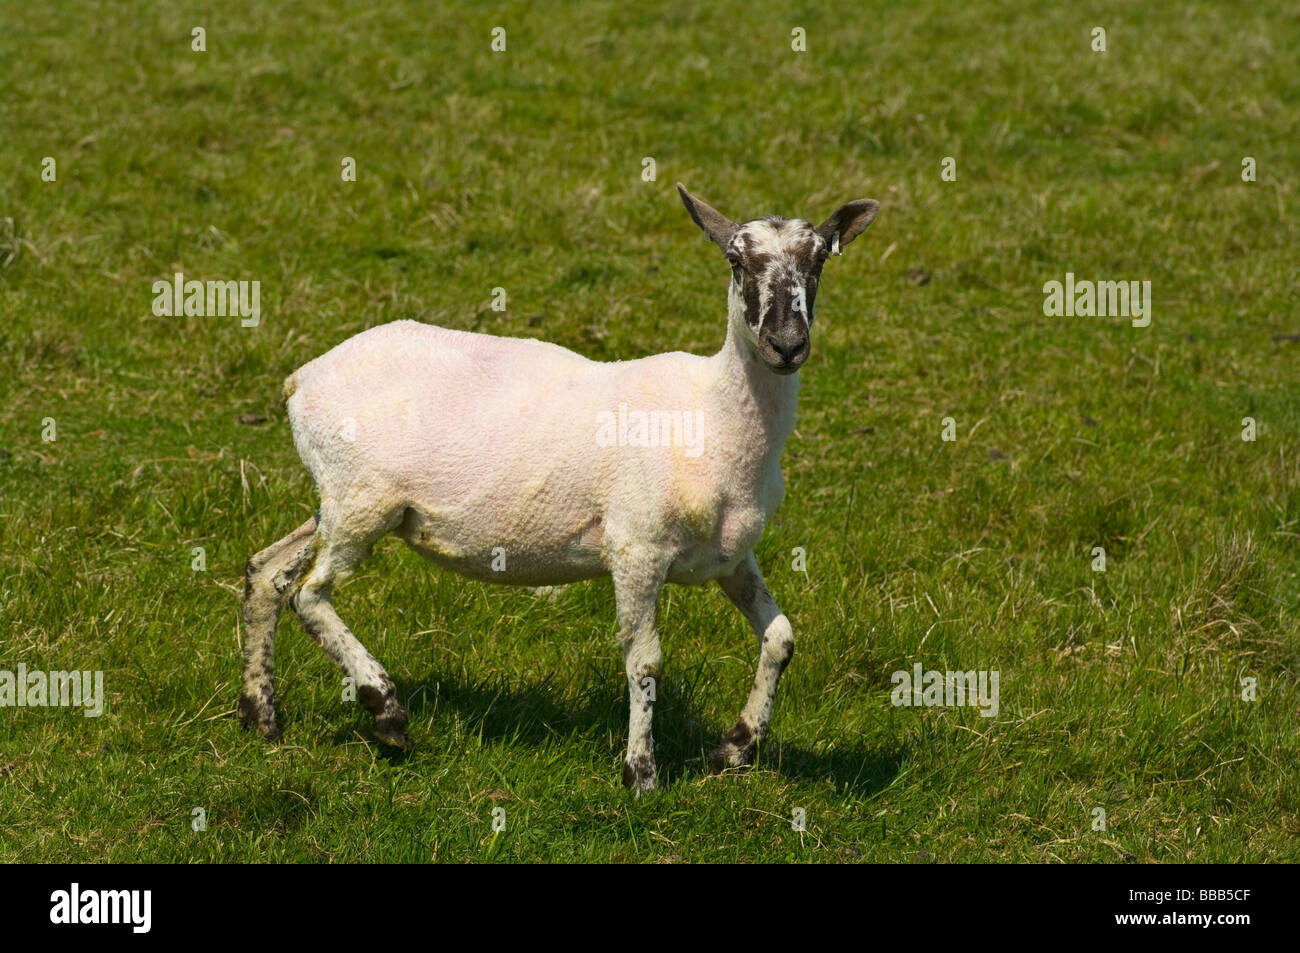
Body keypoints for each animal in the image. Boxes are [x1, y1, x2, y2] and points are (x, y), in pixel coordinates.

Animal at [240, 184, 880, 793]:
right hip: (362, 499)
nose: (787, 345)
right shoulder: (636, 547)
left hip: (339, 501)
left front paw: (735, 750)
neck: (713, 413)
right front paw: (641, 775)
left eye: (820, 259)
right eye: (735, 260)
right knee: (310, 594)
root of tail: (303, 377)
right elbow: (645, 662)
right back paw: (387, 712)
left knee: (267, 572)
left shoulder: (731, 556)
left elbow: (781, 639)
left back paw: (261, 718)